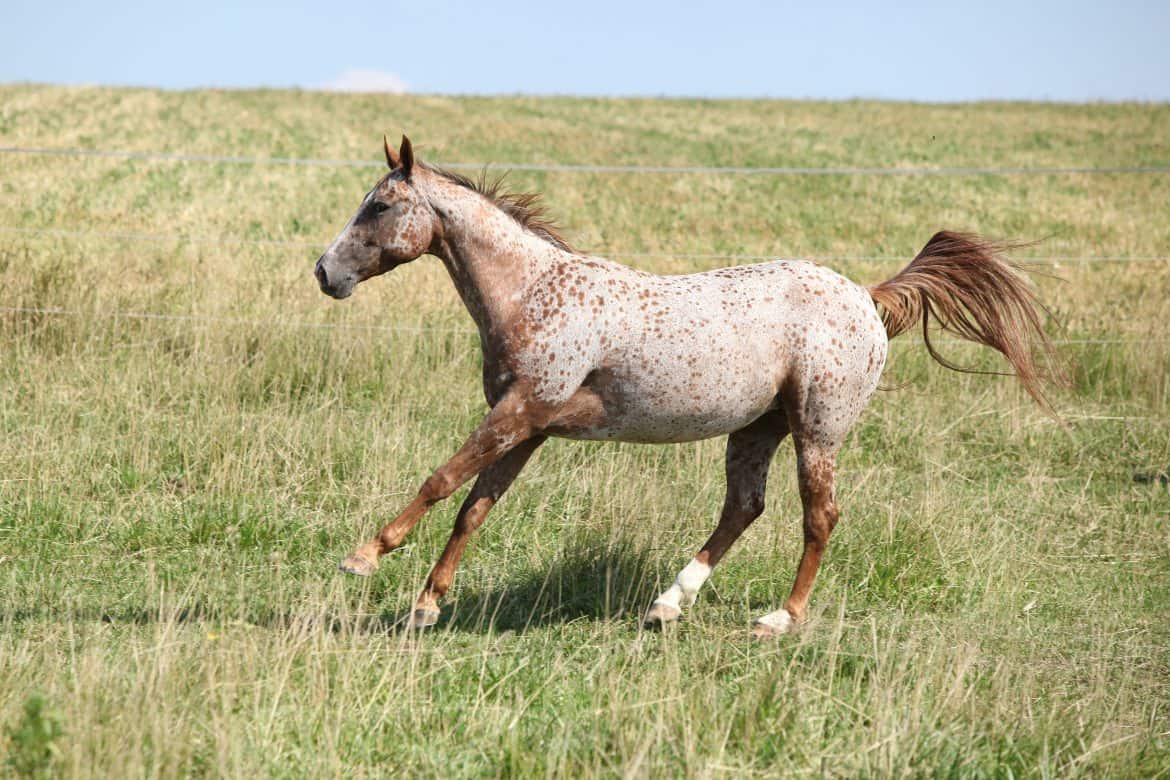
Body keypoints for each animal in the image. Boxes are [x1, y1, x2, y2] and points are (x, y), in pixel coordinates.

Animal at [313, 136, 1059, 637]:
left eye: (380, 205)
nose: (325, 272)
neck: (534, 292)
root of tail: (868, 298)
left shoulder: (519, 412)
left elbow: (440, 481)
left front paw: (363, 559)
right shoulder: (528, 425)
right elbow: (475, 507)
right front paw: (426, 605)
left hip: (818, 430)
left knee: (819, 516)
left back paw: (779, 619)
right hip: (758, 428)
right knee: (744, 508)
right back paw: (667, 605)